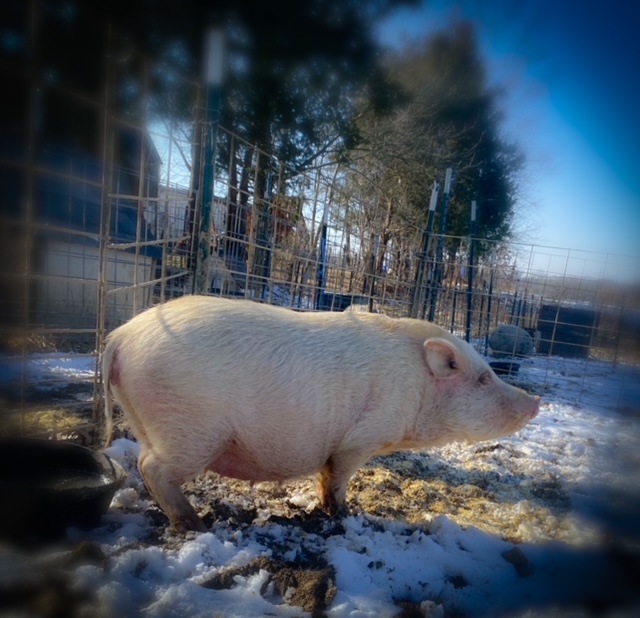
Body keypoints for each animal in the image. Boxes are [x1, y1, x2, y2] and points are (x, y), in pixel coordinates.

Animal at [102, 295, 539, 532]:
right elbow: (337, 477)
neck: (417, 387)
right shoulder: (359, 439)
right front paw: (346, 514)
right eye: (483, 378)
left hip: (149, 423)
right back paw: (196, 523)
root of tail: (119, 338)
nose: (535, 401)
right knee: (151, 468)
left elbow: (324, 477)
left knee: (146, 463)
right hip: (189, 429)